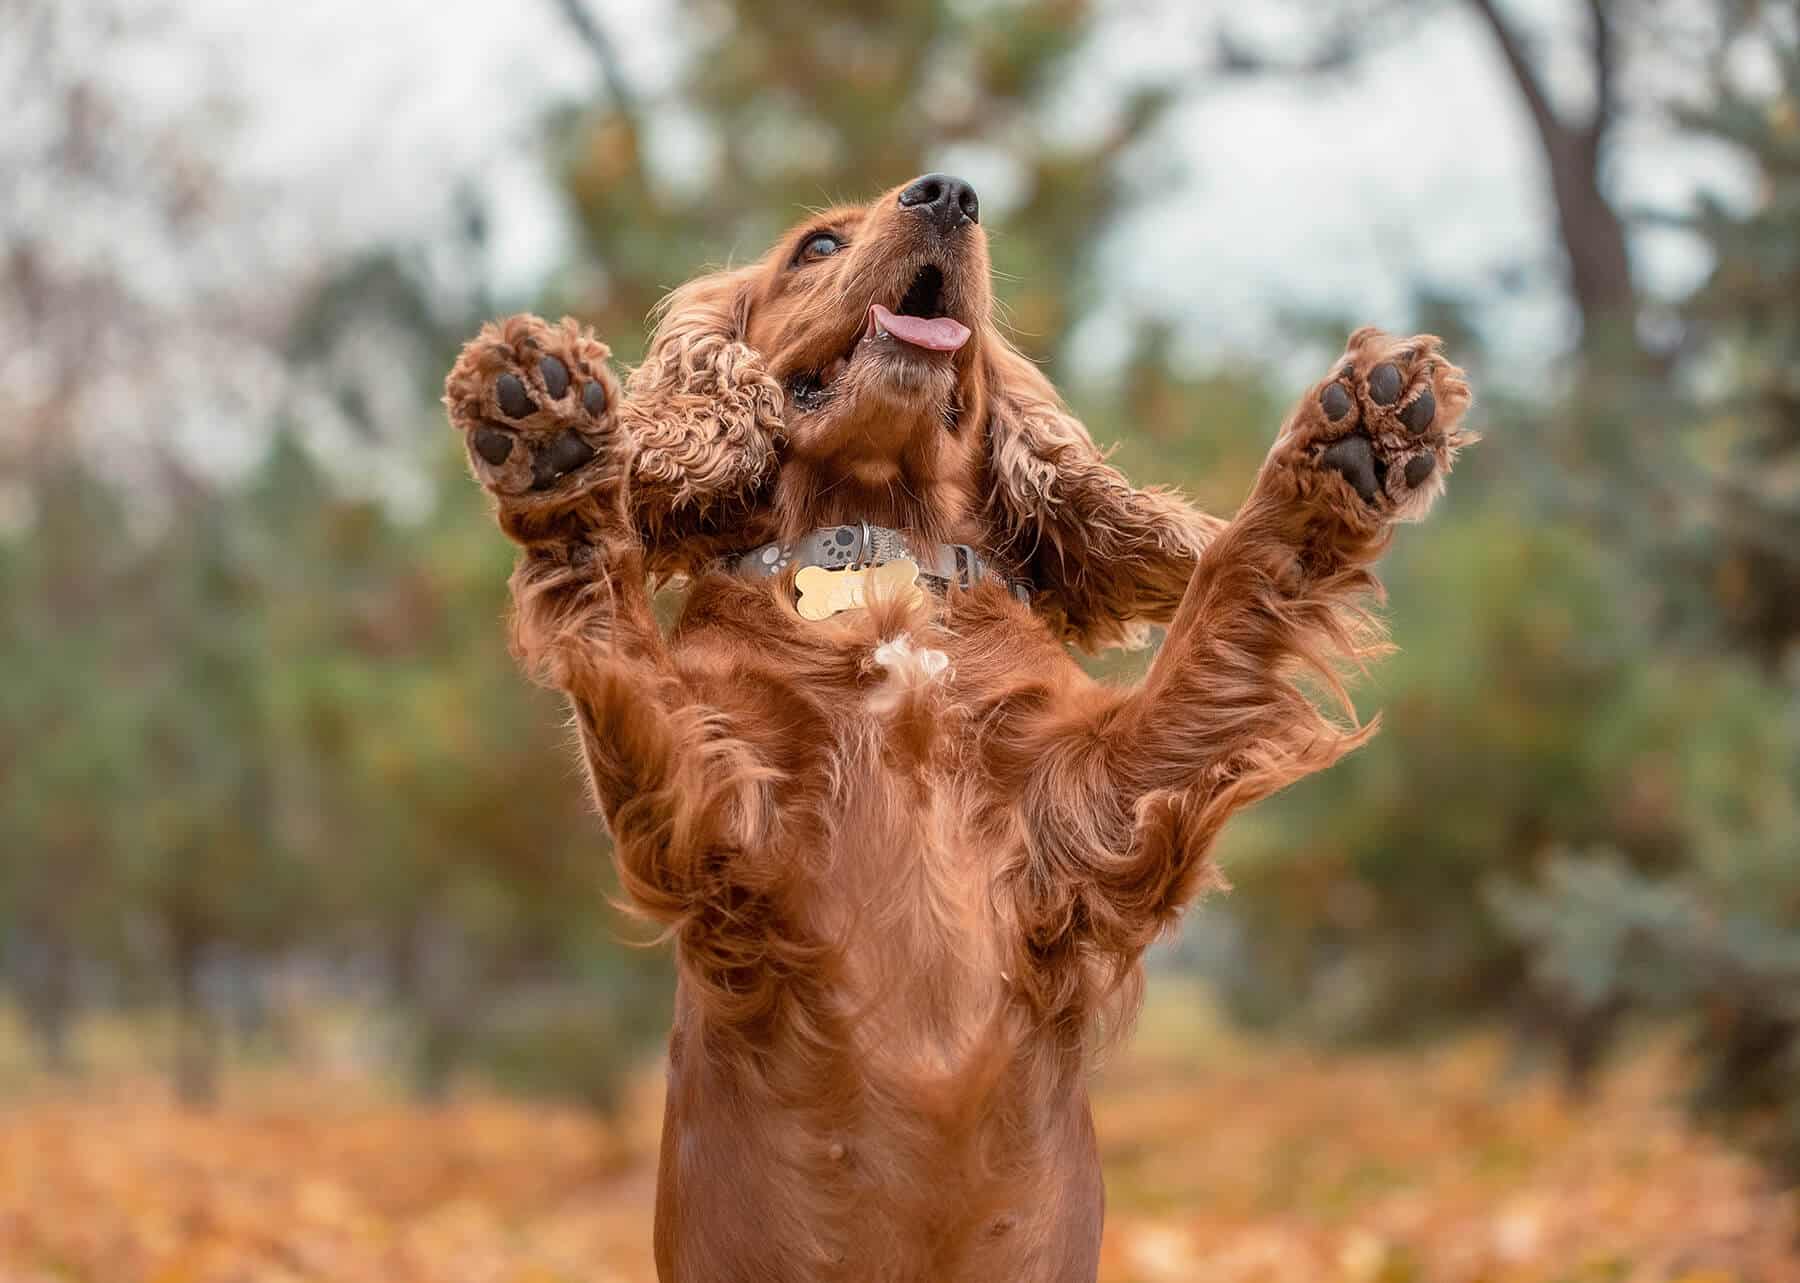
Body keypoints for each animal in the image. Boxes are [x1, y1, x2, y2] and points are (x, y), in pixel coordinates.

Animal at [442, 172, 1468, 1281]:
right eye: (817, 244)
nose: (952, 192)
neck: (878, 546)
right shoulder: (722, 824)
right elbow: (621, 639)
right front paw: (555, 452)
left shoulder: (1098, 804)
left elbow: (1228, 597)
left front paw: (1353, 443)